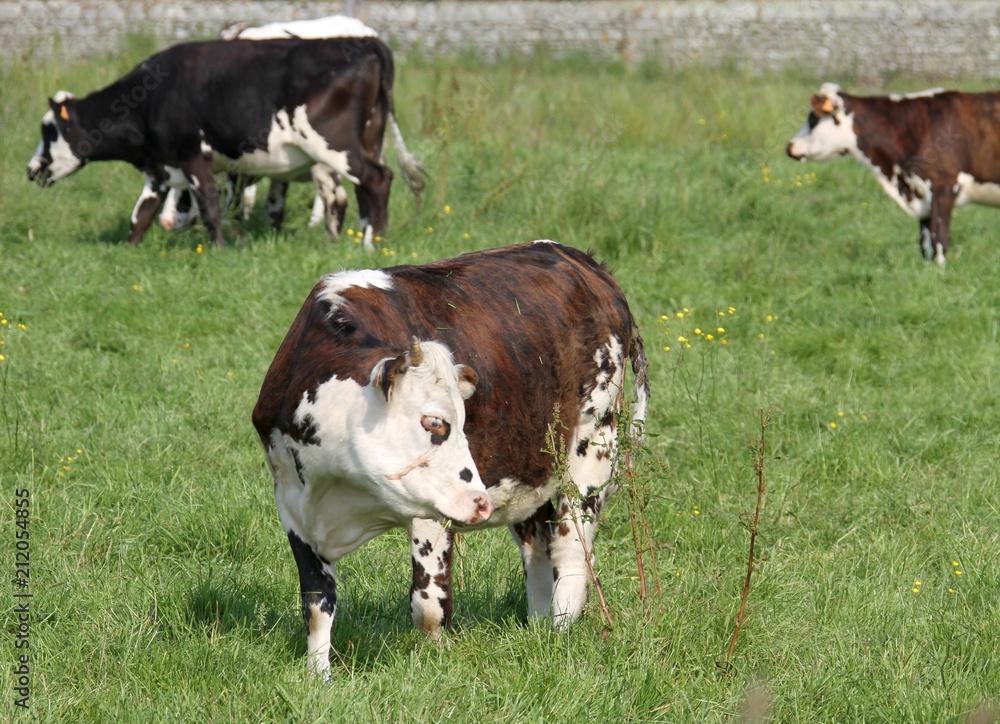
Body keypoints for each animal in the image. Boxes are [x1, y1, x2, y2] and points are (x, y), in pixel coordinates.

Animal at [27, 36, 424, 249]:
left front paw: (218, 248)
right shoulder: (160, 168)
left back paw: (373, 242)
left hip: (334, 144)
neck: (149, 98)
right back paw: (361, 237)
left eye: (49, 131)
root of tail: (367, 43)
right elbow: (141, 215)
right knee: (363, 189)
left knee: (377, 179)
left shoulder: (194, 156)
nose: (32, 169)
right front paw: (129, 250)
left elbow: (209, 206)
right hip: (368, 139)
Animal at [252, 241, 650, 677]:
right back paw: (538, 629)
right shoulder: (294, 506)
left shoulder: (432, 508)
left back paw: (558, 635)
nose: (479, 502)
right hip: (530, 466)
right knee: (537, 552)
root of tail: (588, 264)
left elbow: (428, 605)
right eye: (435, 422)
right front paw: (318, 676)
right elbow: (316, 606)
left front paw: (436, 663)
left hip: (592, 446)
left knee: (571, 551)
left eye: (463, 421)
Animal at [786, 82, 1000, 266]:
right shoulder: (922, 194)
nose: (790, 146)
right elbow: (925, 245)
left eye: (813, 118)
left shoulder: (944, 186)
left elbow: (939, 241)